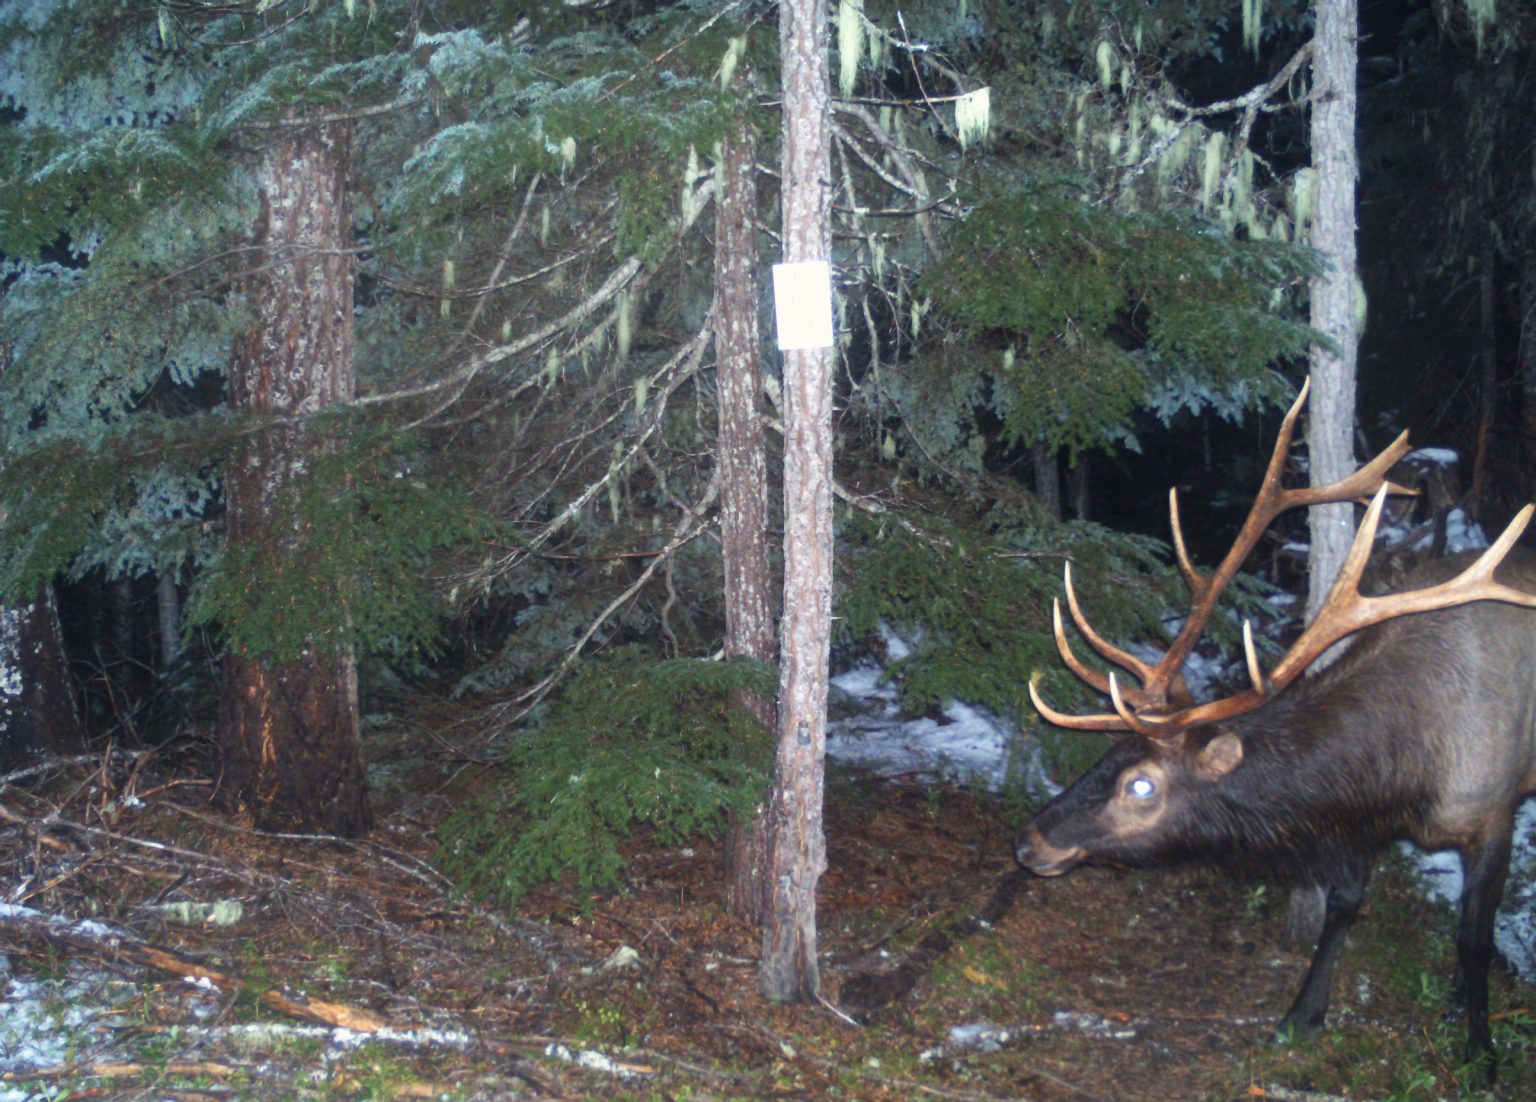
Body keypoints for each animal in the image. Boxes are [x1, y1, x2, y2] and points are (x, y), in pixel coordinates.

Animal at [1015, 379, 1536, 1078]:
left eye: (1141, 785)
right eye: (1110, 753)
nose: (1029, 842)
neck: (1403, 774)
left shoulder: (1492, 810)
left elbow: (1473, 937)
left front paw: (1481, 1049)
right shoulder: (1358, 825)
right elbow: (1343, 910)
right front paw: (1301, 1016)